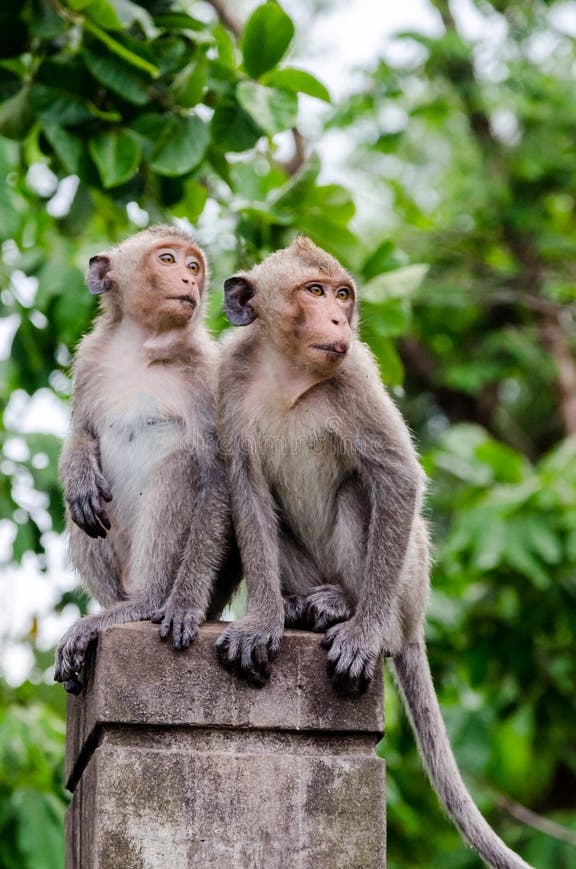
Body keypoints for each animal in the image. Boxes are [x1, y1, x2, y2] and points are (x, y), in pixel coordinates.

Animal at [54, 225, 239, 695]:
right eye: (168, 260)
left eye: (193, 265)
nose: (189, 279)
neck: (142, 347)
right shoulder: (90, 357)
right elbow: (83, 432)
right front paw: (78, 470)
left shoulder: (208, 373)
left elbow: (218, 475)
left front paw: (185, 604)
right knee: (81, 508)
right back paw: (112, 609)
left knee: (180, 467)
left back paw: (144, 604)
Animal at [214, 236, 532, 869]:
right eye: (313, 291)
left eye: (342, 295)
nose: (339, 319)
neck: (289, 376)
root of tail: (414, 624)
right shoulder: (230, 380)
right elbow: (247, 488)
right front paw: (261, 620)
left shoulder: (356, 373)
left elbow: (398, 478)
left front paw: (361, 638)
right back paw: (300, 606)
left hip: (408, 585)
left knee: (365, 490)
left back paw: (353, 614)